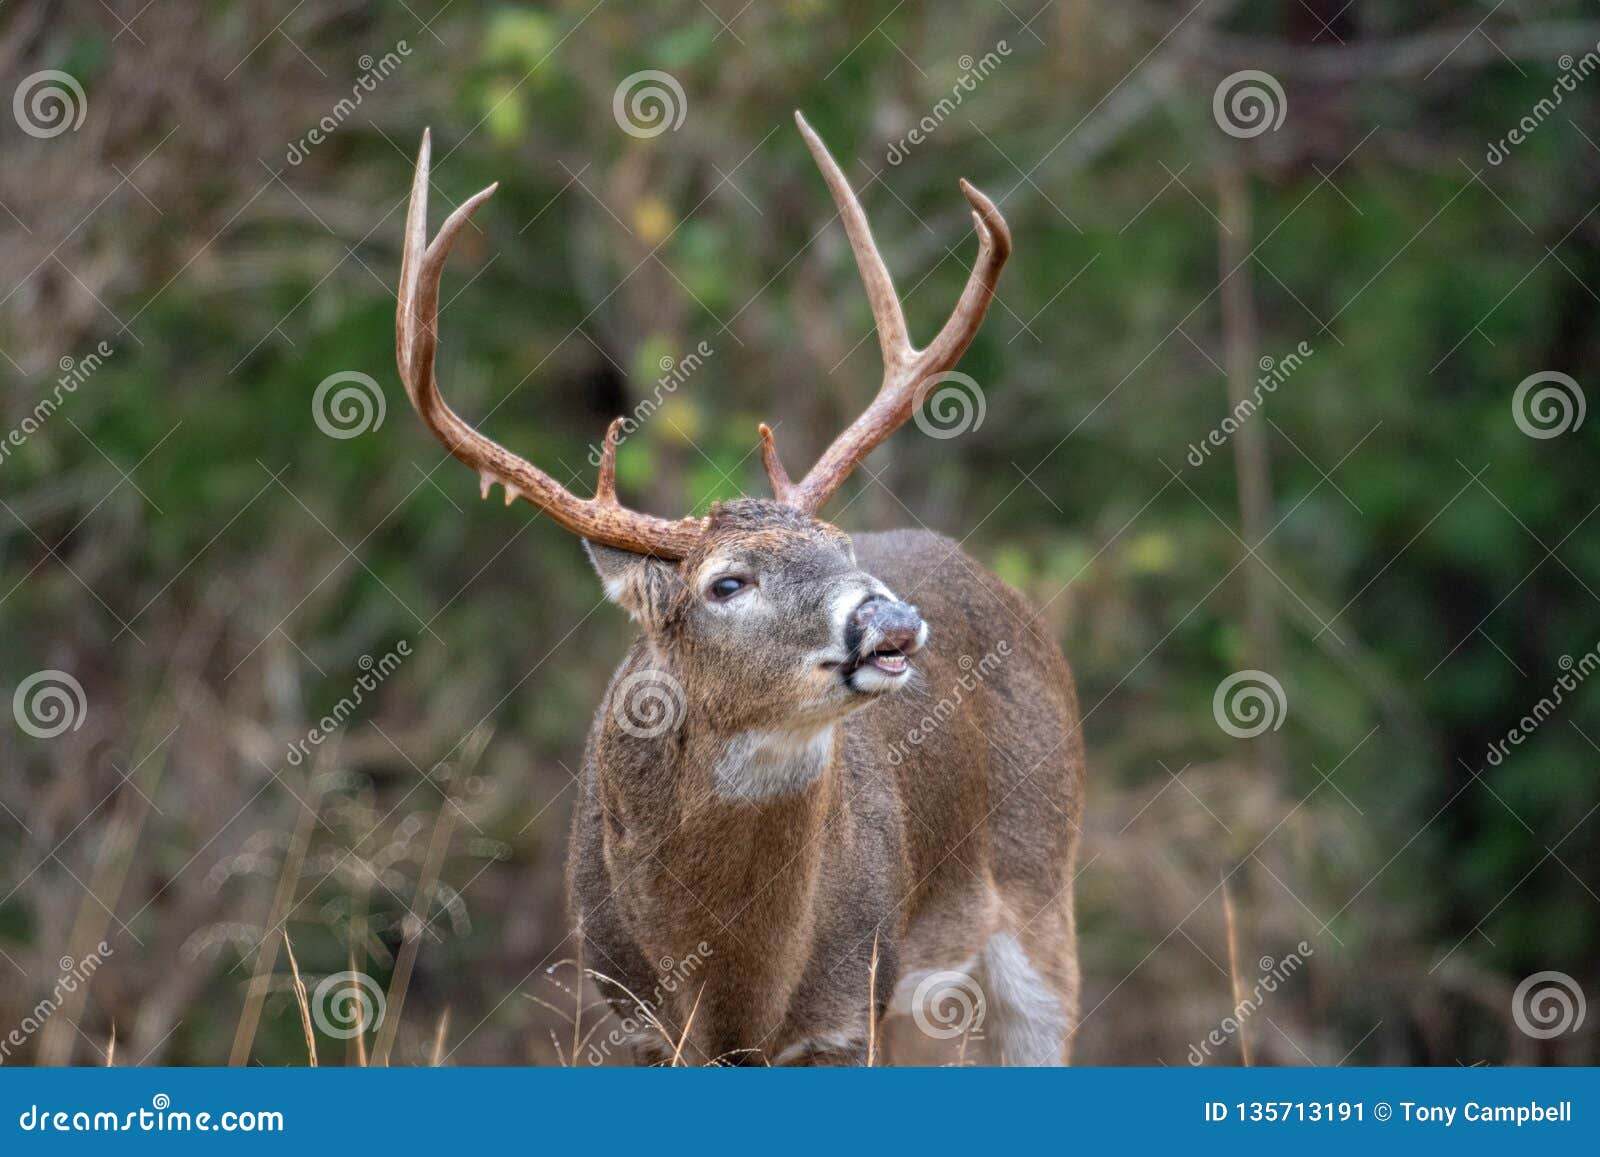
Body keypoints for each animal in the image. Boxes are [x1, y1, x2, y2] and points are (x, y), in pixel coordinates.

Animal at [395, 113, 1085, 1065]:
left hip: (1040, 884)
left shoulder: (849, 1011)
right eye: (727, 582)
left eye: (840, 544)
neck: (736, 990)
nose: (892, 617)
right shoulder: (635, 1018)